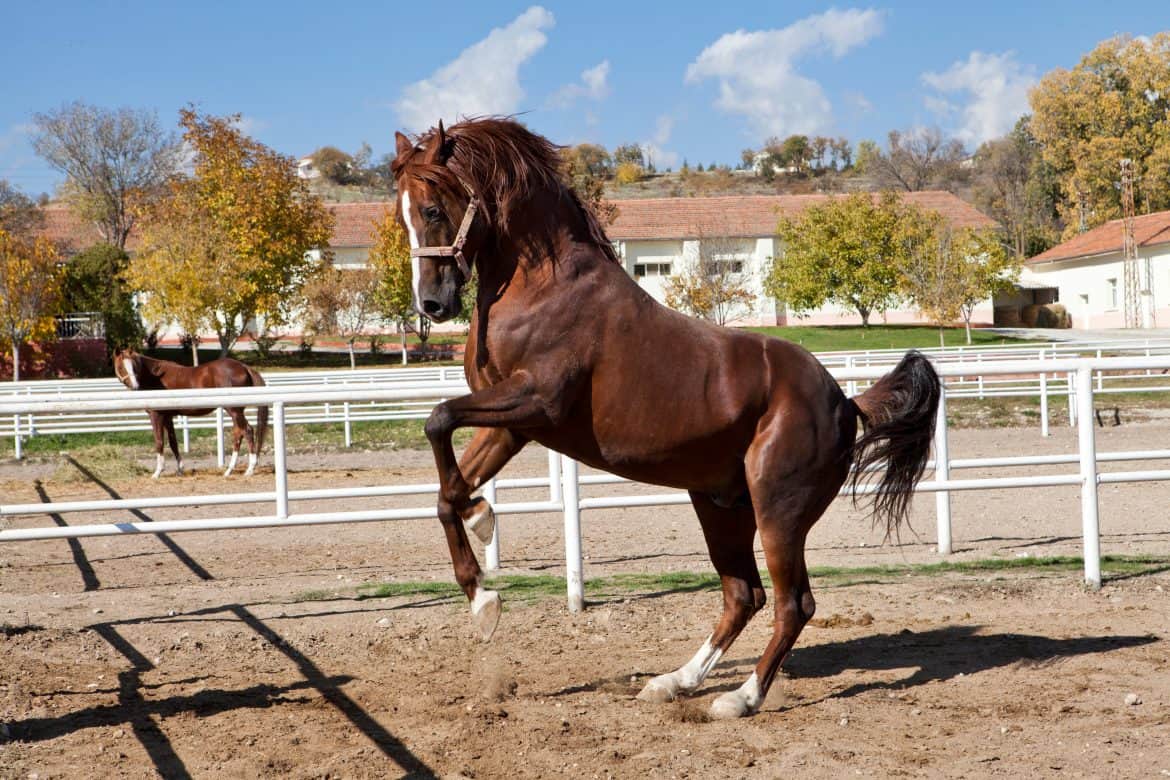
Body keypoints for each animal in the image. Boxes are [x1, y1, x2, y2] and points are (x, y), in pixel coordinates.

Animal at [112, 349, 269, 479]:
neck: (154, 377)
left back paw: (250, 469)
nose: (135, 387)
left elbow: (159, 442)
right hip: (235, 411)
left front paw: (157, 472)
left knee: (247, 431)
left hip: (234, 410)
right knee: (238, 434)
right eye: (121, 366)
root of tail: (244, 367)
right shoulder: (168, 417)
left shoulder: (156, 415)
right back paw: (229, 471)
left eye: (134, 366)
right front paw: (180, 469)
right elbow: (173, 442)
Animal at [391, 117, 940, 719]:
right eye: (400, 215)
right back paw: (673, 682)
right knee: (743, 596)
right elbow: (446, 484)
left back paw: (739, 699)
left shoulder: (535, 401)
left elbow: (438, 420)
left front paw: (483, 556)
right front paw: (482, 579)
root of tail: (845, 403)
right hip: (720, 507)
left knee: (793, 604)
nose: (431, 306)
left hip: (779, 510)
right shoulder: (513, 424)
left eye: (433, 209)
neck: (542, 288)